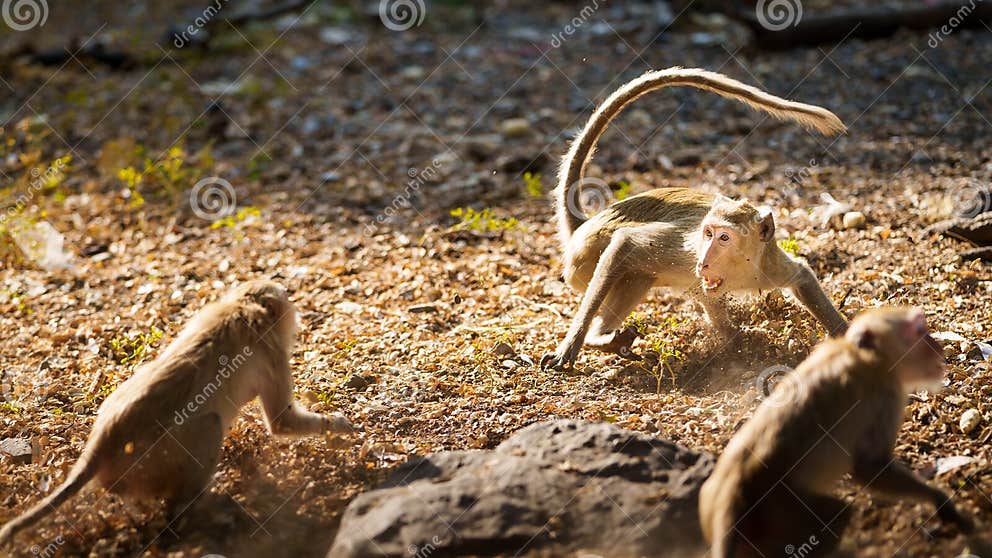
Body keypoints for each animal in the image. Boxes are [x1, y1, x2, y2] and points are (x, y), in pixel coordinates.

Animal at [0, 280, 357, 547]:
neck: (242, 308)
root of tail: (103, 445)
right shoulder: (271, 351)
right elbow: (283, 421)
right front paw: (341, 427)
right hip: (152, 463)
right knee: (209, 426)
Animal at [541, 67, 849, 371]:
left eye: (724, 237)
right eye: (708, 233)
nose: (705, 261)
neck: (739, 270)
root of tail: (584, 226)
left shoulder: (768, 265)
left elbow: (802, 276)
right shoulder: (687, 250)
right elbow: (626, 243)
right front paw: (570, 344)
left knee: (639, 276)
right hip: (584, 263)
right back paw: (598, 338)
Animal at [698, 307, 976, 557]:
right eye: (918, 331)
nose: (937, 346)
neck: (866, 358)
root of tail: (733, 491)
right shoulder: (885, 394)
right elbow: (868, 467)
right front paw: (939, 500)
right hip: (783, 512)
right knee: (836, 514)